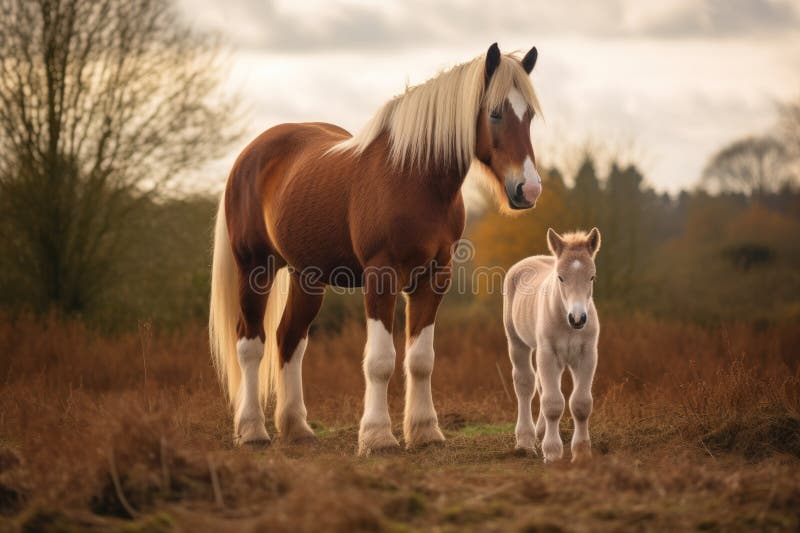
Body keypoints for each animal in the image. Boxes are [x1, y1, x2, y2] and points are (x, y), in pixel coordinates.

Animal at [209, 43, 544, 455]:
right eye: (495, 113)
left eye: (528, 115)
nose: (528, 189)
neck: (413, 178)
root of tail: (249, 155)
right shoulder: (381, 277)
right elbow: (381, 360)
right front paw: (378, 436)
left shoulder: (434, 277)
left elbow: (421, 359)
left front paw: (425, 431)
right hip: (254, 268)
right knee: (250, 343)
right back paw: (252, 430)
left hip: (307, 278)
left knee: (289, 338)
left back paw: (296, 428)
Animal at [502, 228, 601, 462]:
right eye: (560, 277)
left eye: (592, 276)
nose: (578, 319)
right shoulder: (549, 354)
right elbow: (553, 403)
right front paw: (553, 453)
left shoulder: (587, 356)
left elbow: (581, 404)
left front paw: (582, 453)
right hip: (518, 342)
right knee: (526, 385)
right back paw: (525, 442)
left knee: (539, 385)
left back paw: (539, 433)